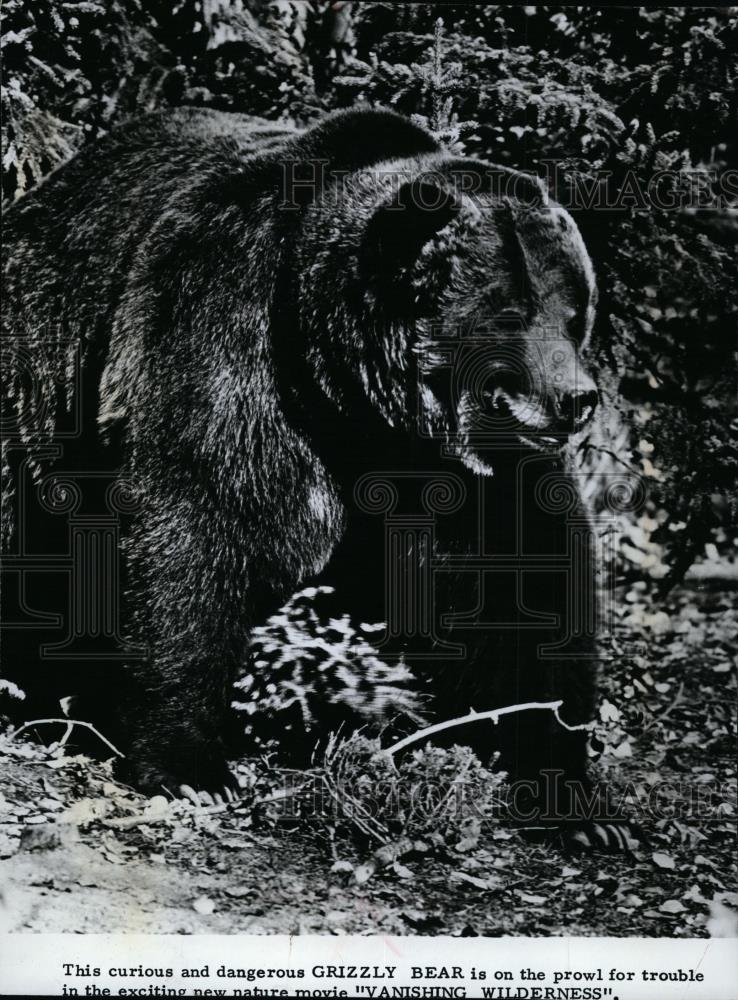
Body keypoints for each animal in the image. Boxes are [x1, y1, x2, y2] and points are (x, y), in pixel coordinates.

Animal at [3, 106, 617, 840]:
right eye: (511, 313)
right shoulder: (222, 343)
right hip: (30, 376)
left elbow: (531, 581)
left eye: (574, 313)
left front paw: (573, 800)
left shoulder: (470, 475)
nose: (576, 397)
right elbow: (187, 527)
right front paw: (193, 767)